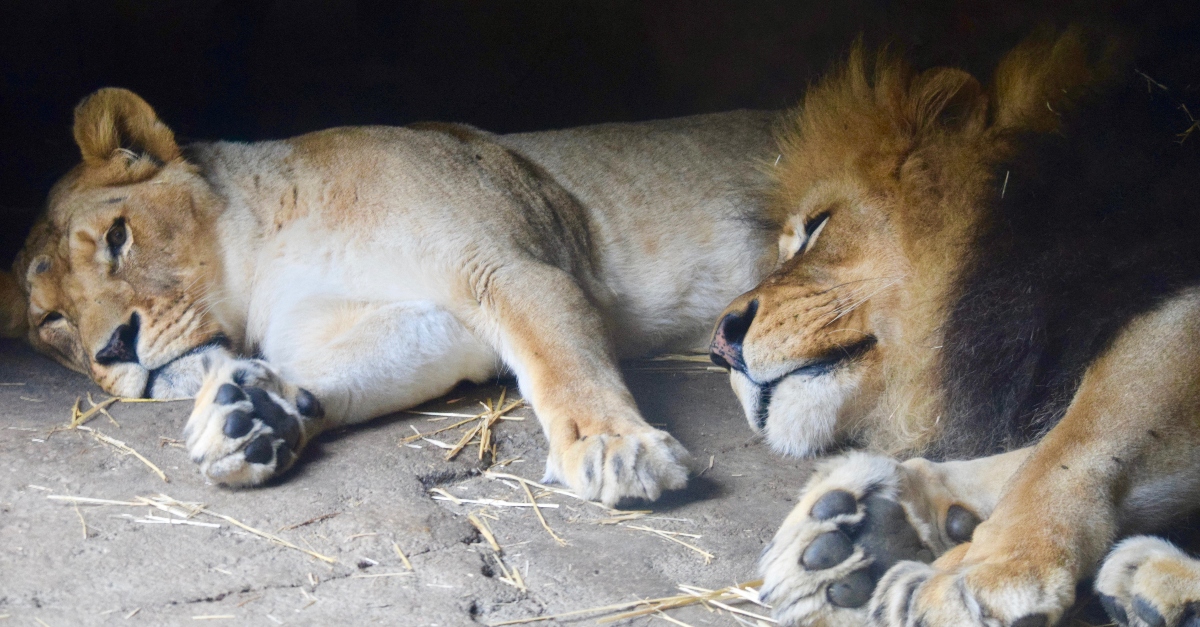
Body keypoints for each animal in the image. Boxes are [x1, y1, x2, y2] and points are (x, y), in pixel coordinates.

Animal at [1, 88, 781, 506]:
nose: (112, 347)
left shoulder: (510, 267)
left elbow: (566, 366)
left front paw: (616, 447)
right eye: (53, 320)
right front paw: (250, 413)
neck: (272, 249)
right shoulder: (438, 325)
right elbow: (339, 372)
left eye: (117, 236)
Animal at [708, 31, 1200, 626]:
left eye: (818, 226)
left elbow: (1078, 440)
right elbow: (1041, 449)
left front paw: (985, 570)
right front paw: (884, 514)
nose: (720, 344)